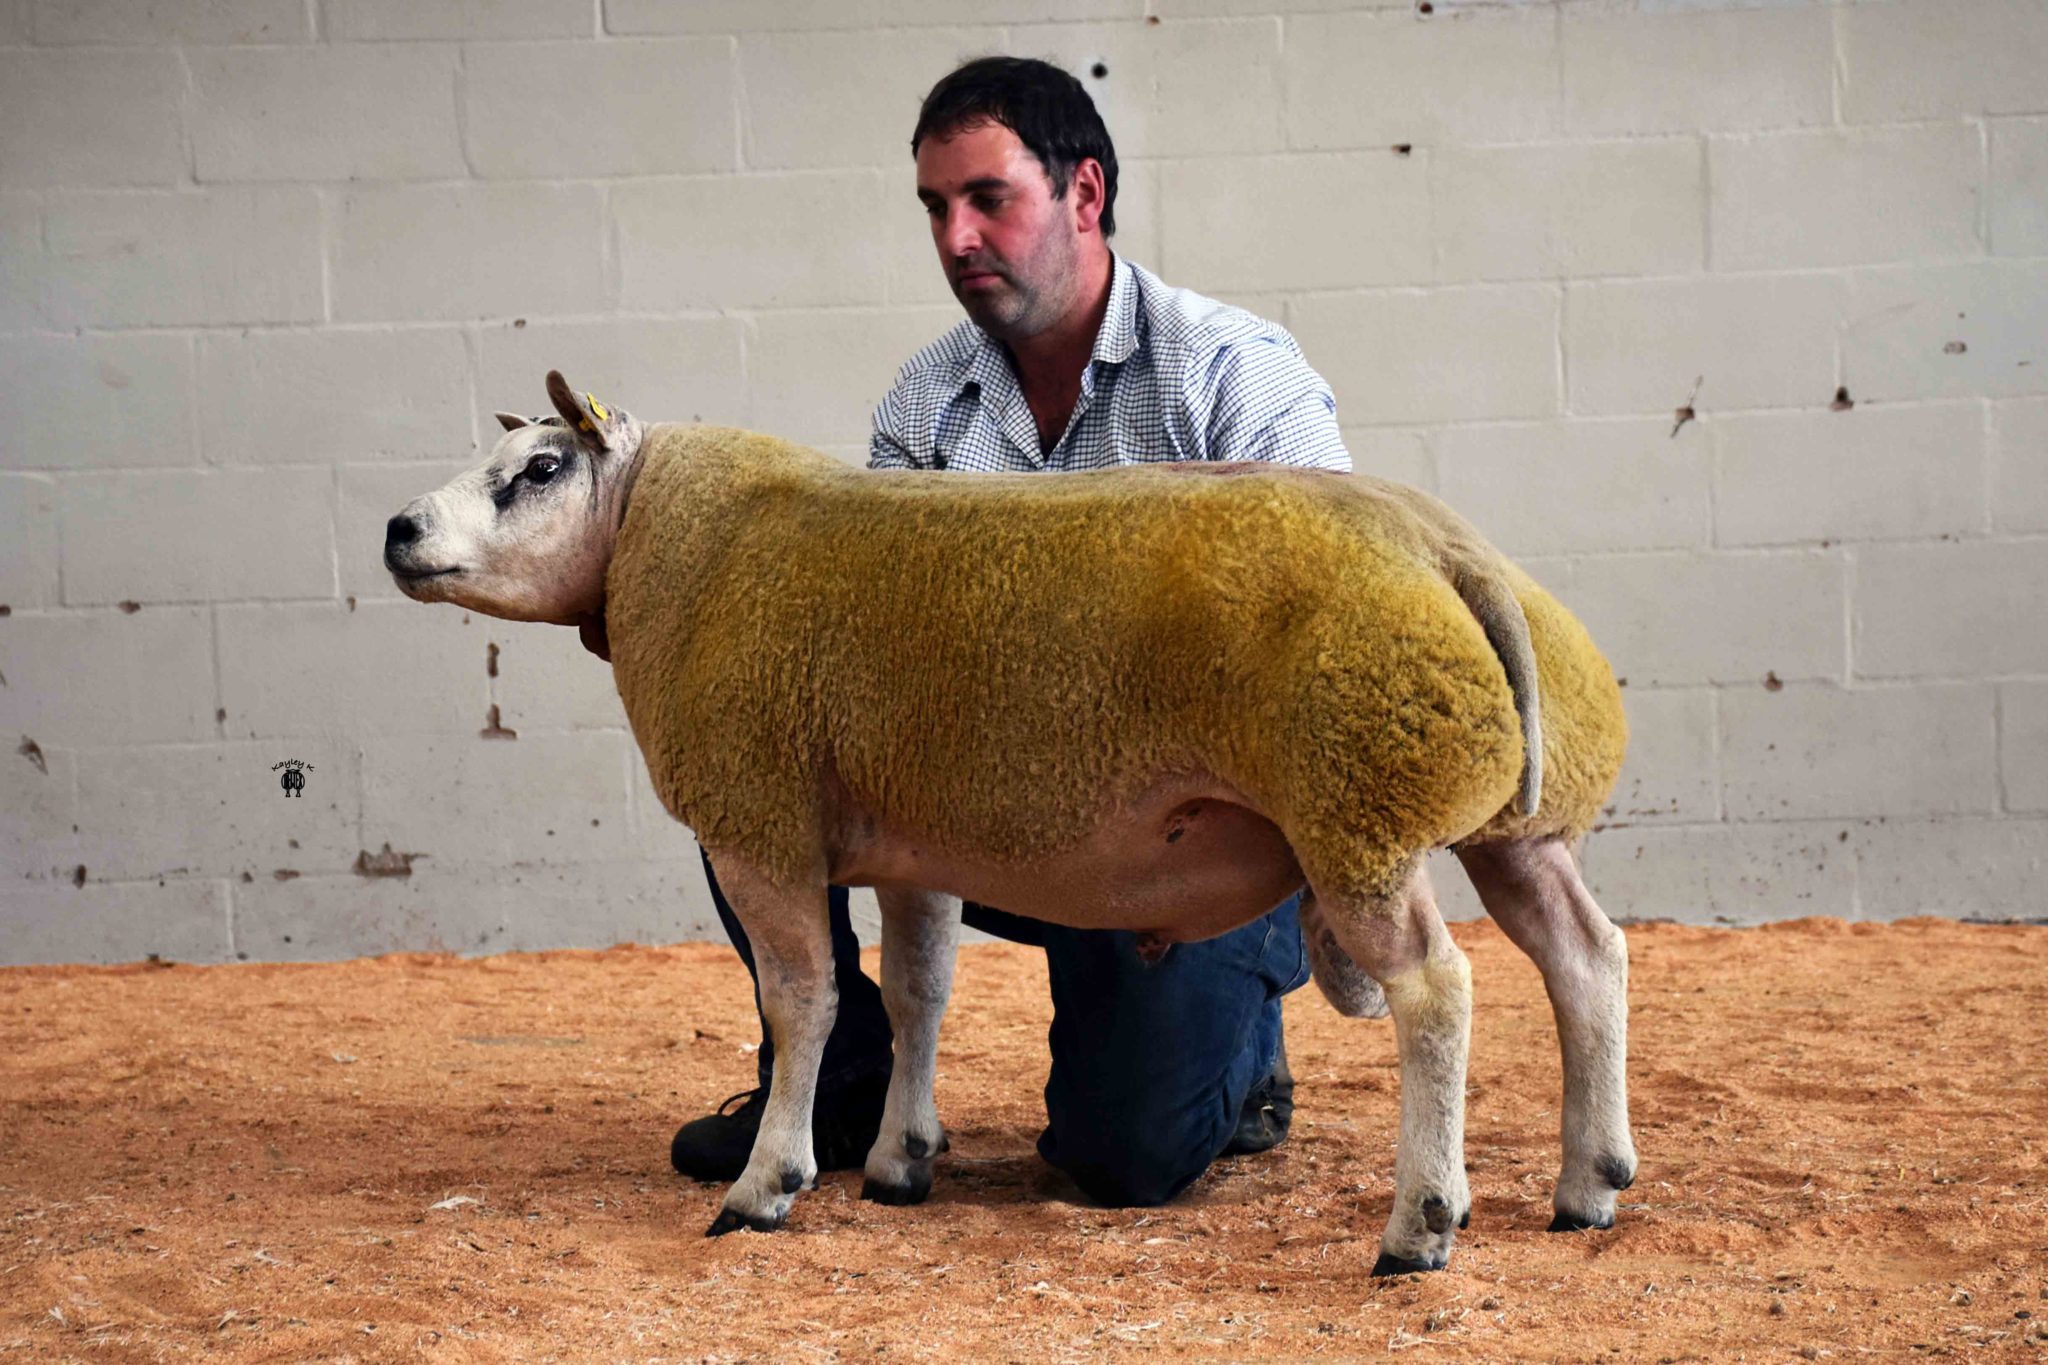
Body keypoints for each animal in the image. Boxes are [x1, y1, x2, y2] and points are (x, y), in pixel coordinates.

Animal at [384, 372, 1637, 1275]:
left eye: (539, 469)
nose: (398, 529)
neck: (662, 535)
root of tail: (1445, 552)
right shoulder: (912, 843)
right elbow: (915, 993)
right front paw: (899, 1160)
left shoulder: (759, 820)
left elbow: (801, 1001)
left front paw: (768, 1183)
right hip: (1511, 827)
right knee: (1585, 960)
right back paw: (1588, 1184)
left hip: (1357, 813)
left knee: (1435, 991)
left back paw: (1419, 1222)